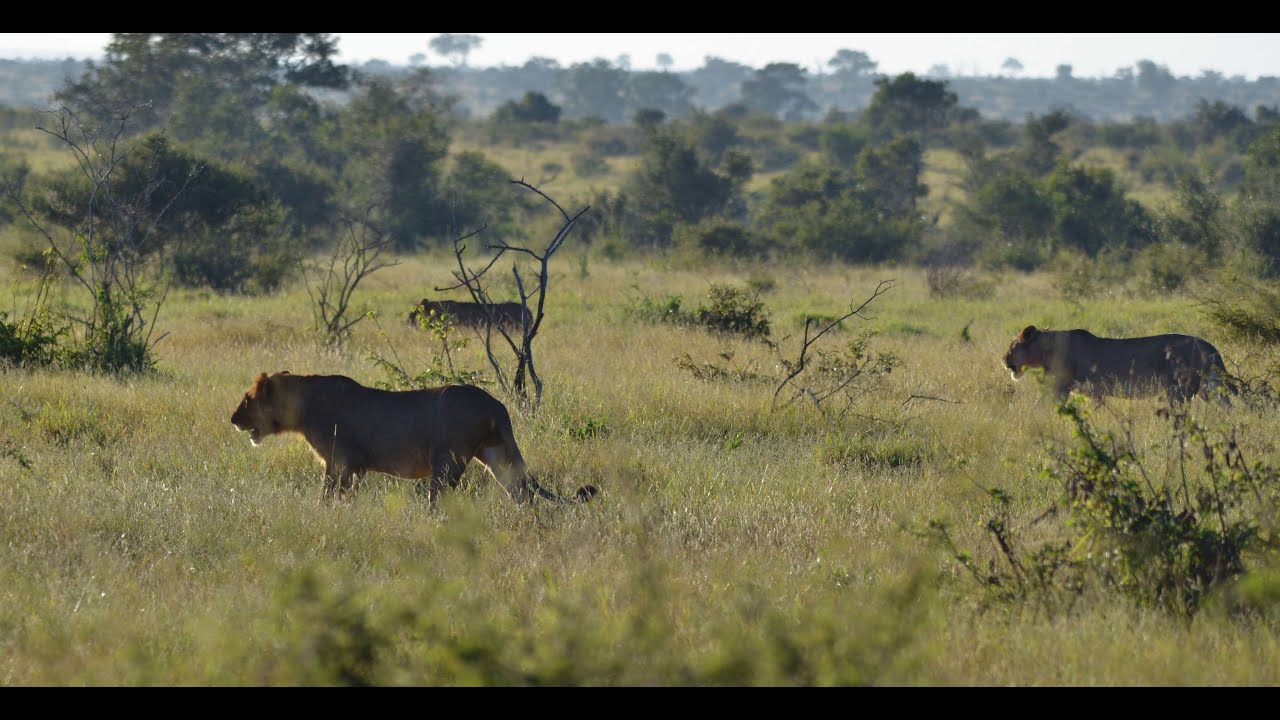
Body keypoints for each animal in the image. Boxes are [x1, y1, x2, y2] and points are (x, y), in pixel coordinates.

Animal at [230, 371, 598, 507]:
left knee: (439, 501)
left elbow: (335, 495)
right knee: (521, 492)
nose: (232, 419)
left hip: (448, 462)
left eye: (247, 399)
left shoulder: (349, 462)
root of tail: (497, 405)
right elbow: (329, 493)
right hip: (495, 455)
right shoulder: (338, 464)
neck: (303, 405)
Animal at [1003, 325, 1236, 404]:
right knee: (1227, 407)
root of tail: (1207, 345)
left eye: (1012, 345)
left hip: (1179, 390)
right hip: (1208, 388)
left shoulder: (1060, 387)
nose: (1003, 360)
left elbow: (1041, 408)